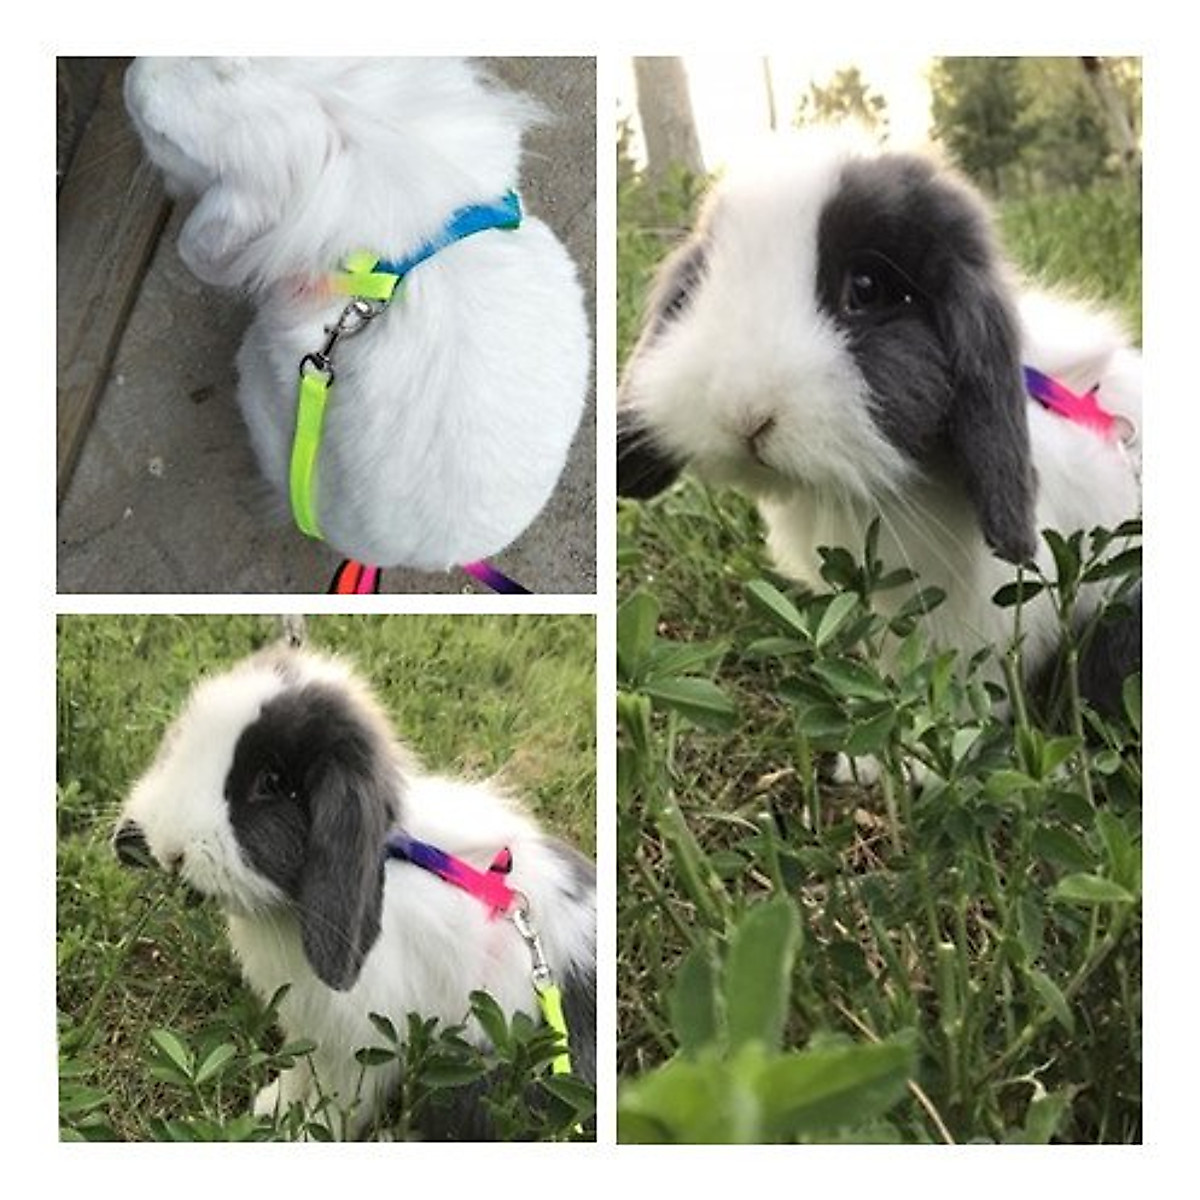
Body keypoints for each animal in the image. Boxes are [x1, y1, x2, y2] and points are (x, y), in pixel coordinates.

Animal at [113, 643, 596, 1140]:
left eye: (272, 783)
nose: (172, 850)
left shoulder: (361, 1048)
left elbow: (337, 1102)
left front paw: (302, 1132)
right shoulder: (310, 1025)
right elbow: (300, 1071)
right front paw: (271, 1107)